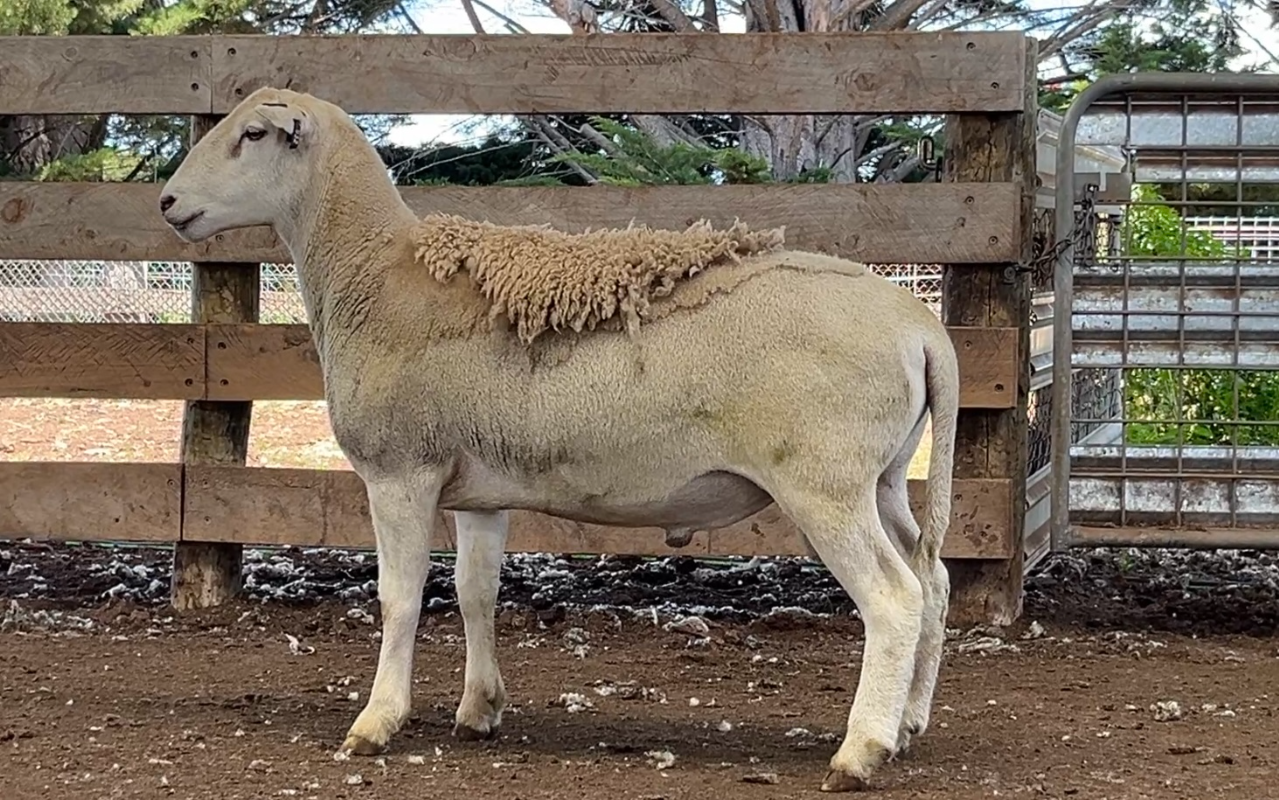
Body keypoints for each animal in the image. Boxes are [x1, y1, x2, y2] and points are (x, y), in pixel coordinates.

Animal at [158, 86, 960, 793]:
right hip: (884, 477)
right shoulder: (480, 491)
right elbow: (475, 592)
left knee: (893, 598)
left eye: (252, 135)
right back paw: (910, 725)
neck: (375, 277)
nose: (166, 202)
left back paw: (861, 751)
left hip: (824, 481)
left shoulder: (400, 471)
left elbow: (400, 597)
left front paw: (376, 722)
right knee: (933, 582)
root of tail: (921, 330)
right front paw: (479, 710)